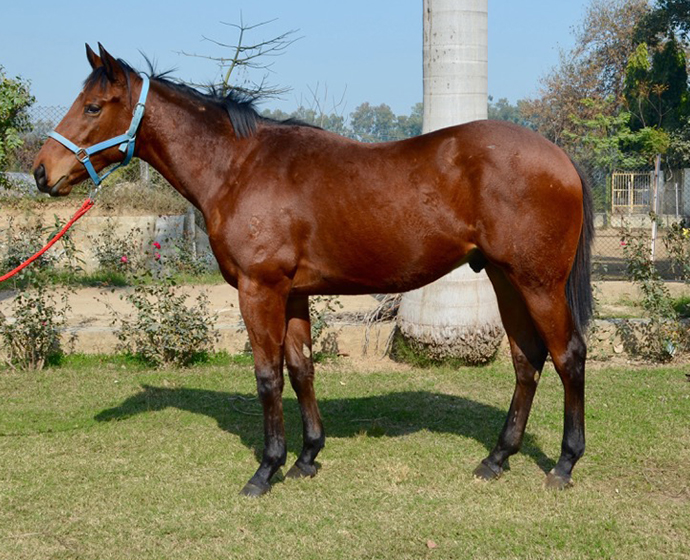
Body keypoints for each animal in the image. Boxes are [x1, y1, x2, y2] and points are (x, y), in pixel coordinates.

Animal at [33, 44, 593, 497]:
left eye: (92, 106)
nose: (41, 172)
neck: (238, 167)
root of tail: (561, 157)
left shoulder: (259, 290)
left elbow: (267, 376)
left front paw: (266, 470)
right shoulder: (293, 293)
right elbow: (301, 368)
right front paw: (306, 458)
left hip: (539, 283)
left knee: (567, 355)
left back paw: (565, 465)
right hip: (505, 278)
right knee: (526, 359)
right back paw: (497, 458)